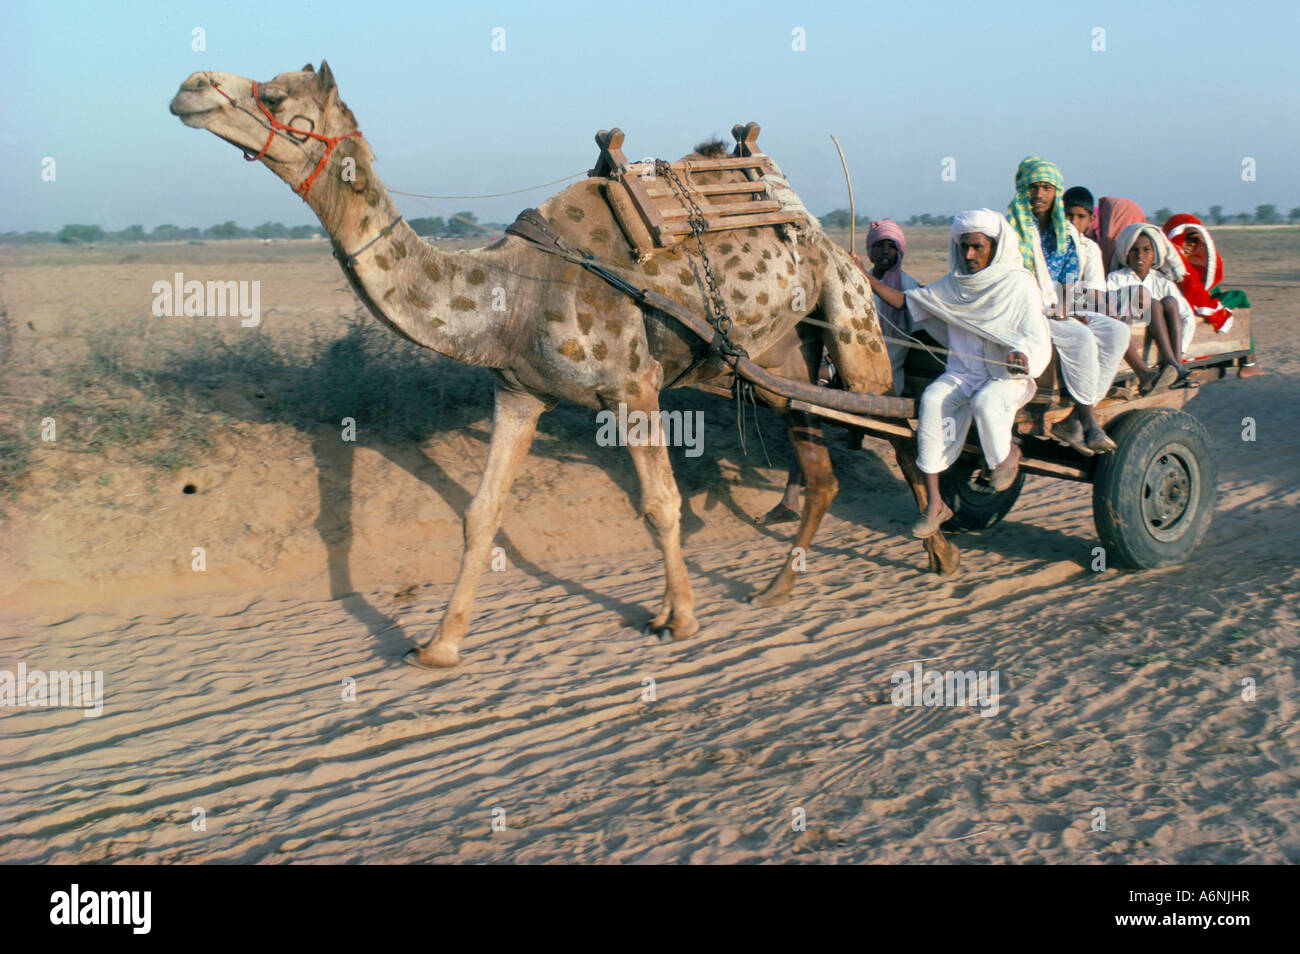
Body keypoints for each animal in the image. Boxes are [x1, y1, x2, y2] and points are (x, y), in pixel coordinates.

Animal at [169, 61, 960, 668]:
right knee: (821, 464)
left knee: (893, 423)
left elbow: (661, 504)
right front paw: (438, 646)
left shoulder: (634, 387)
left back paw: (940, 549)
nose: (189, 86)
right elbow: (480, 513)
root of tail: (822, 233)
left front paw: (680, 618)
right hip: (776, 359)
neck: (507, 297)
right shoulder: (518, 393)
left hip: (852, 316)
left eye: (276, 97)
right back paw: (778, 589)